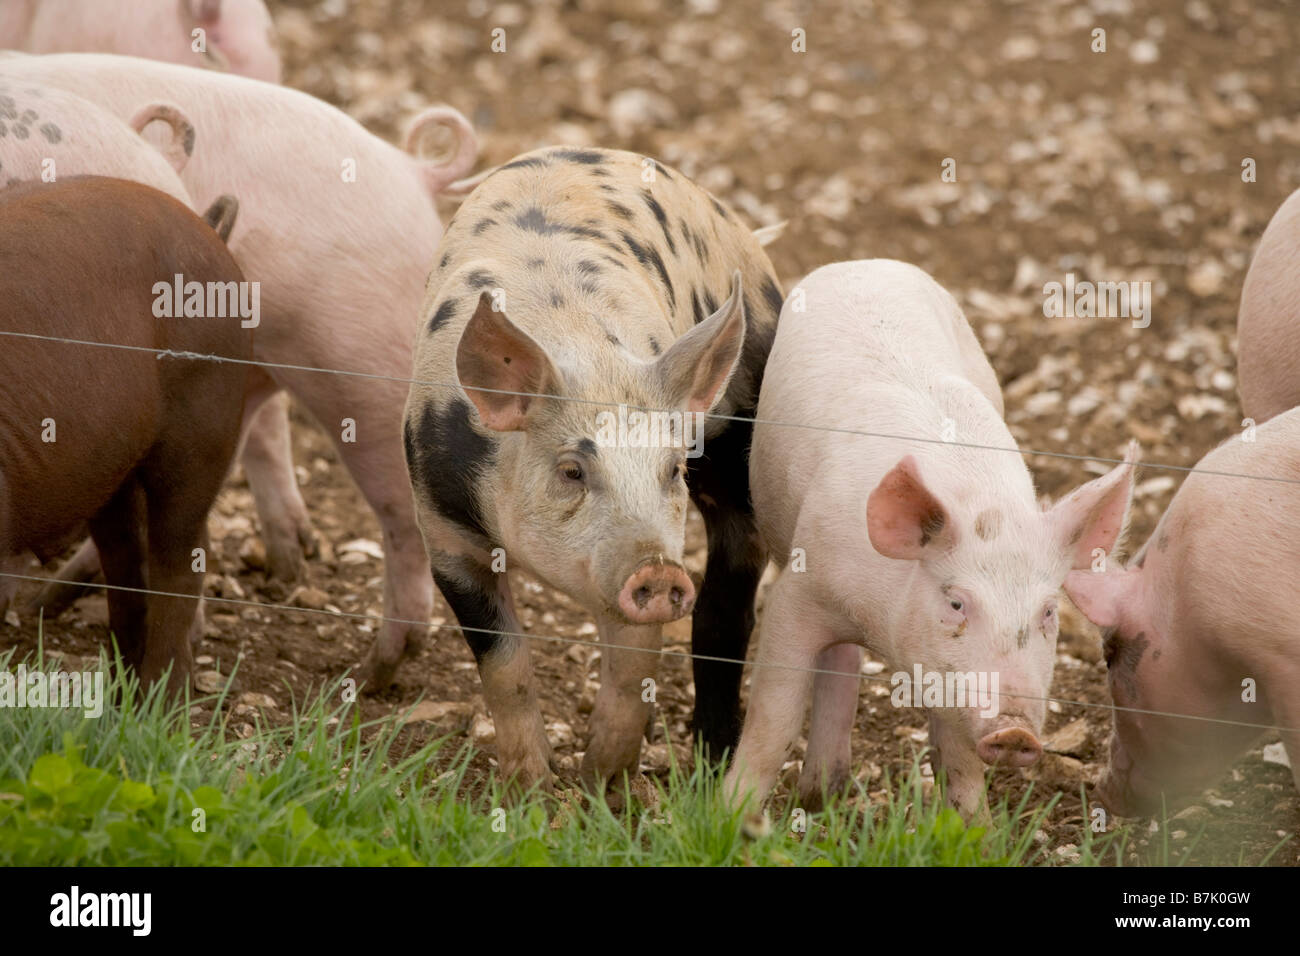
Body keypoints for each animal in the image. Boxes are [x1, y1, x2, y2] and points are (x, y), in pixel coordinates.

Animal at [0, 176, 251, 695]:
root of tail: (208, 230)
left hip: (203, 428)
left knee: (180, 555)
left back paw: (163, 702)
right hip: (109, 466)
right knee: (125, 556)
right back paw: (121, 692)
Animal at [403, 145, 785, 791]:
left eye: (673, 470)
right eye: (572, 471)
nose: (658, 570)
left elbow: (633, 668)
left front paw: (602, 784)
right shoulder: (443, 531)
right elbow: (505, 665)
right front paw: (532, 786)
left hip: (747, 428)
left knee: (724, 612)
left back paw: (714, 764)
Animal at [722, 260, 1137, 816]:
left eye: (1049, 612)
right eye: (957, 603)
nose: (1015, 732)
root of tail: (865, 263)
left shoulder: (953, 672)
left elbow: (958, 751)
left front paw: (976, 827)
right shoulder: (797, 593)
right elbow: (775, 718)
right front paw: (732, 816)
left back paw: (823, 795)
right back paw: (819, 798)